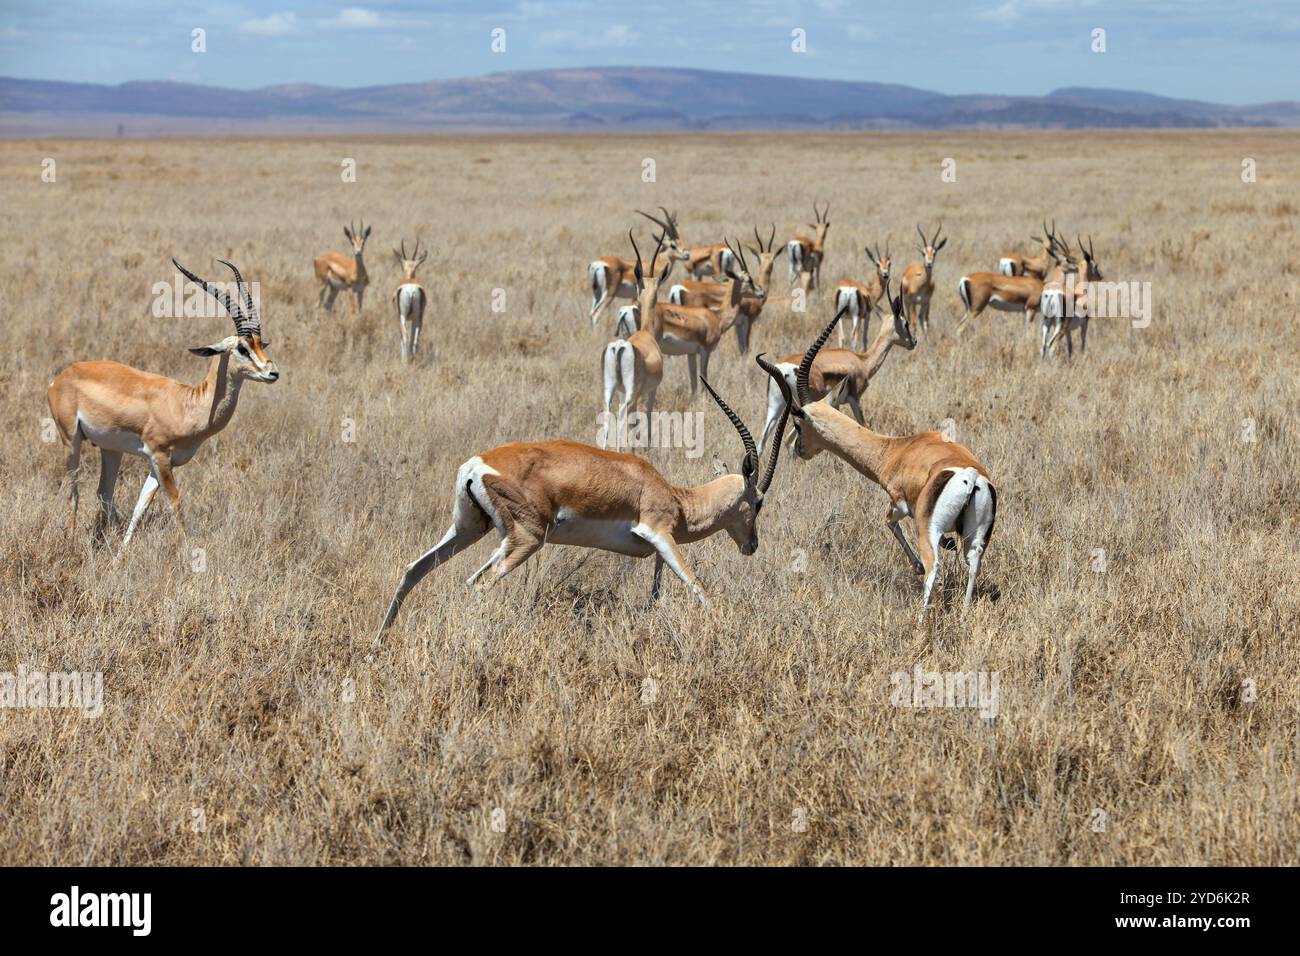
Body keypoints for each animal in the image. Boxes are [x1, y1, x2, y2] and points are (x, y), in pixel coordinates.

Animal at [46, 259, 280, 548]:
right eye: (242, 348)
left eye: (260, 344)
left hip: (110, 449)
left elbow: (140, 506)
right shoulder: (160, 457)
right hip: (72, 441)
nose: (272, 373)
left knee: (104, 492)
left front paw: (122, 553)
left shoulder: (161, 463)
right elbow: (176, 504)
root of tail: (61, 377)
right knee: (73, 491)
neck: (187, 404)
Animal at [375, 365, 793, 637]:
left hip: (468, 529)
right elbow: (697, 586)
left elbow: (657, 593)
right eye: (758, 503)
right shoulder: (658, 532)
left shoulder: (658, 548)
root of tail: (477, 465)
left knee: (413, 569)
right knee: (477, 584)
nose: (752, 545)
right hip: (525, 538)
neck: (676, 498)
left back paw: (378, 644)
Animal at [669, 224, 785, 354]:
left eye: (772, 258)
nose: (761, 292)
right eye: (749, 279)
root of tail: (678, 287)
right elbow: (745, 348)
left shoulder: (737, 325)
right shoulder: (747, 322)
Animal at [757, 288, 916, 454]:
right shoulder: (854, 399)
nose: (913, 342)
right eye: (906, 323)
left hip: (777, 406)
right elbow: (863, 425)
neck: (862, 361)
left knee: (763, 441)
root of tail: (783, 367)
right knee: (789, 440)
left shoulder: (834, 404)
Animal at [757, 310, 997, 622]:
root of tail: (970, 475)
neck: (897, 450)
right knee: (973, 564)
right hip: (975, 539)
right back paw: (965, 614)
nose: (799, 450)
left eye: (798, 424)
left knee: (934, 568)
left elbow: (888, 523)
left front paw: (916, 565)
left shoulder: (899, 505)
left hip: (927, 530)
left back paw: (921, 622)